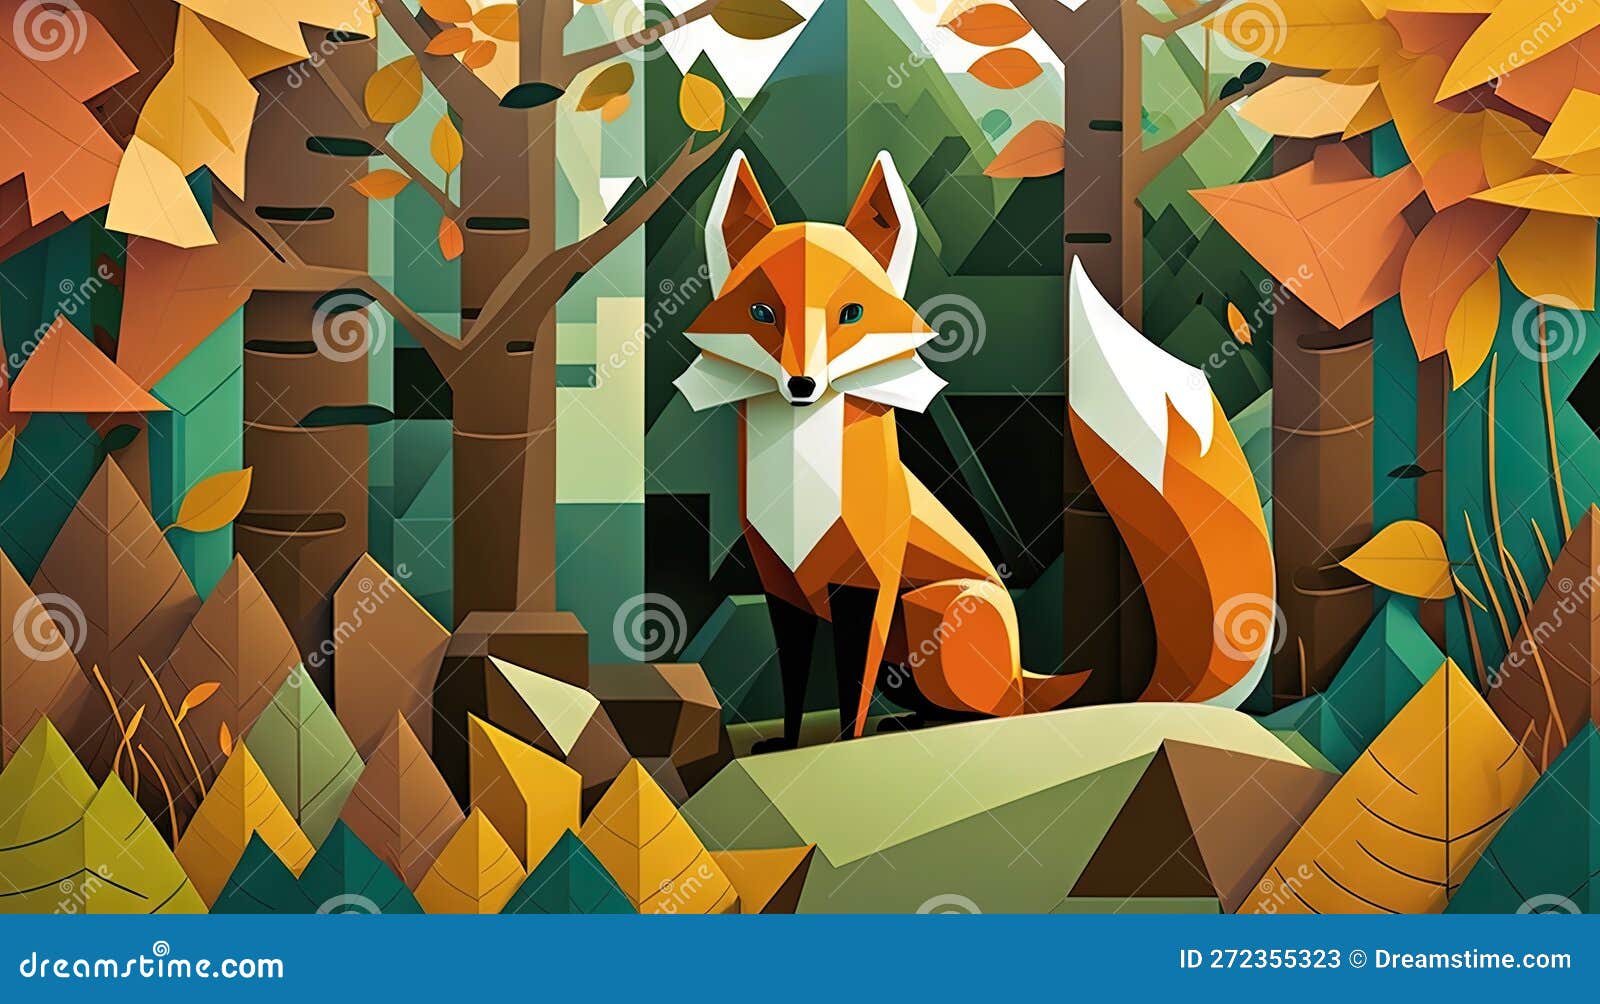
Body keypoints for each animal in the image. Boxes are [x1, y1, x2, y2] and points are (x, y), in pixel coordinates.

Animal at [674, 150, 1091, 748]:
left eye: (850, 313)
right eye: (761, 313)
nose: (801, 385)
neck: (800, 493)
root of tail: (1023, 672)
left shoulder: (866, 582)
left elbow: (853, 684)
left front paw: (840, 747)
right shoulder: (782, 587)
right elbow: (794, 684)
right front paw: (789, 742)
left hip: (930, 609)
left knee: (1005, 712)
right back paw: (906, 722)